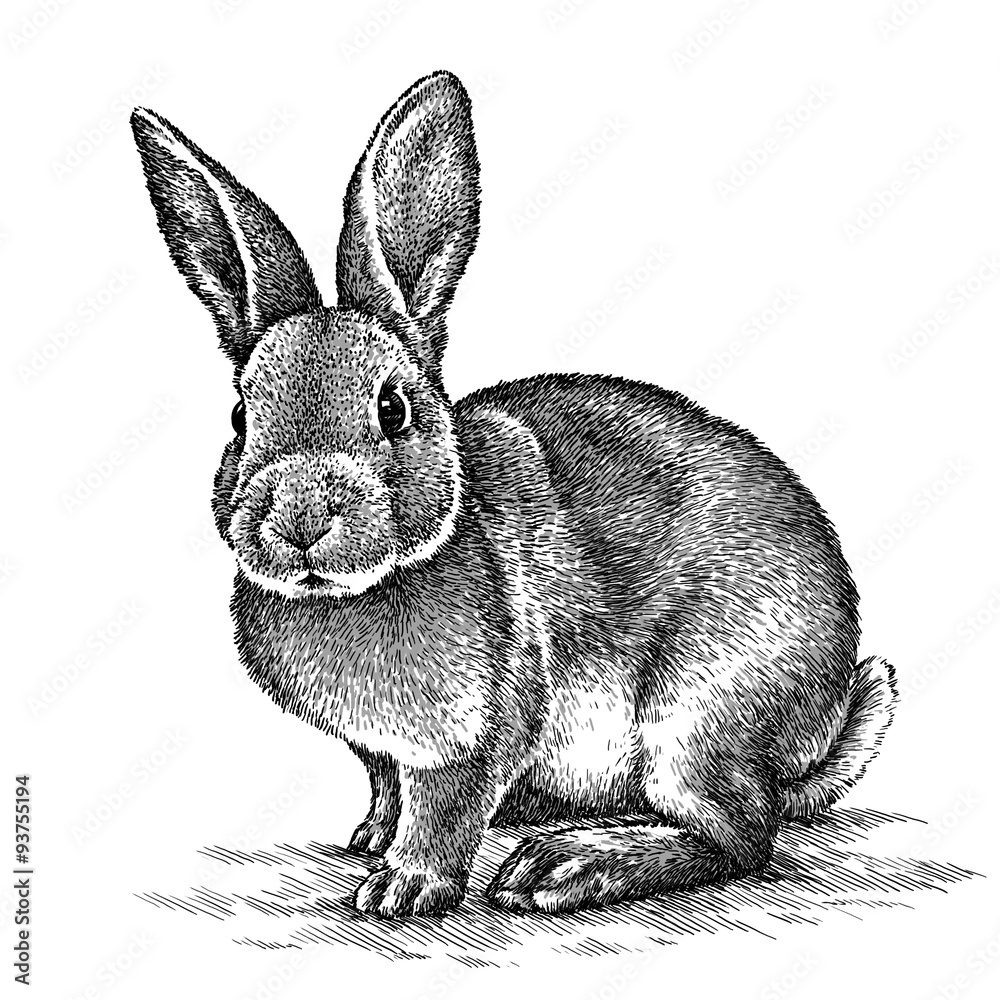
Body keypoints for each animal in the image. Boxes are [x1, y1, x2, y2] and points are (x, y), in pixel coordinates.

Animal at [130, 70, 897, 917]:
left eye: (393, 409)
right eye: (240, 417)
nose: (299, 520)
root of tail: (823, 714)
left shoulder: (484, 722)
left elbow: (447, 805)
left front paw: (404, 886)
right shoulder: (383, 750)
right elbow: (388, 784)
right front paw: (370, 838)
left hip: (696, 718)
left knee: (742, 836)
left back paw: (570, 866)